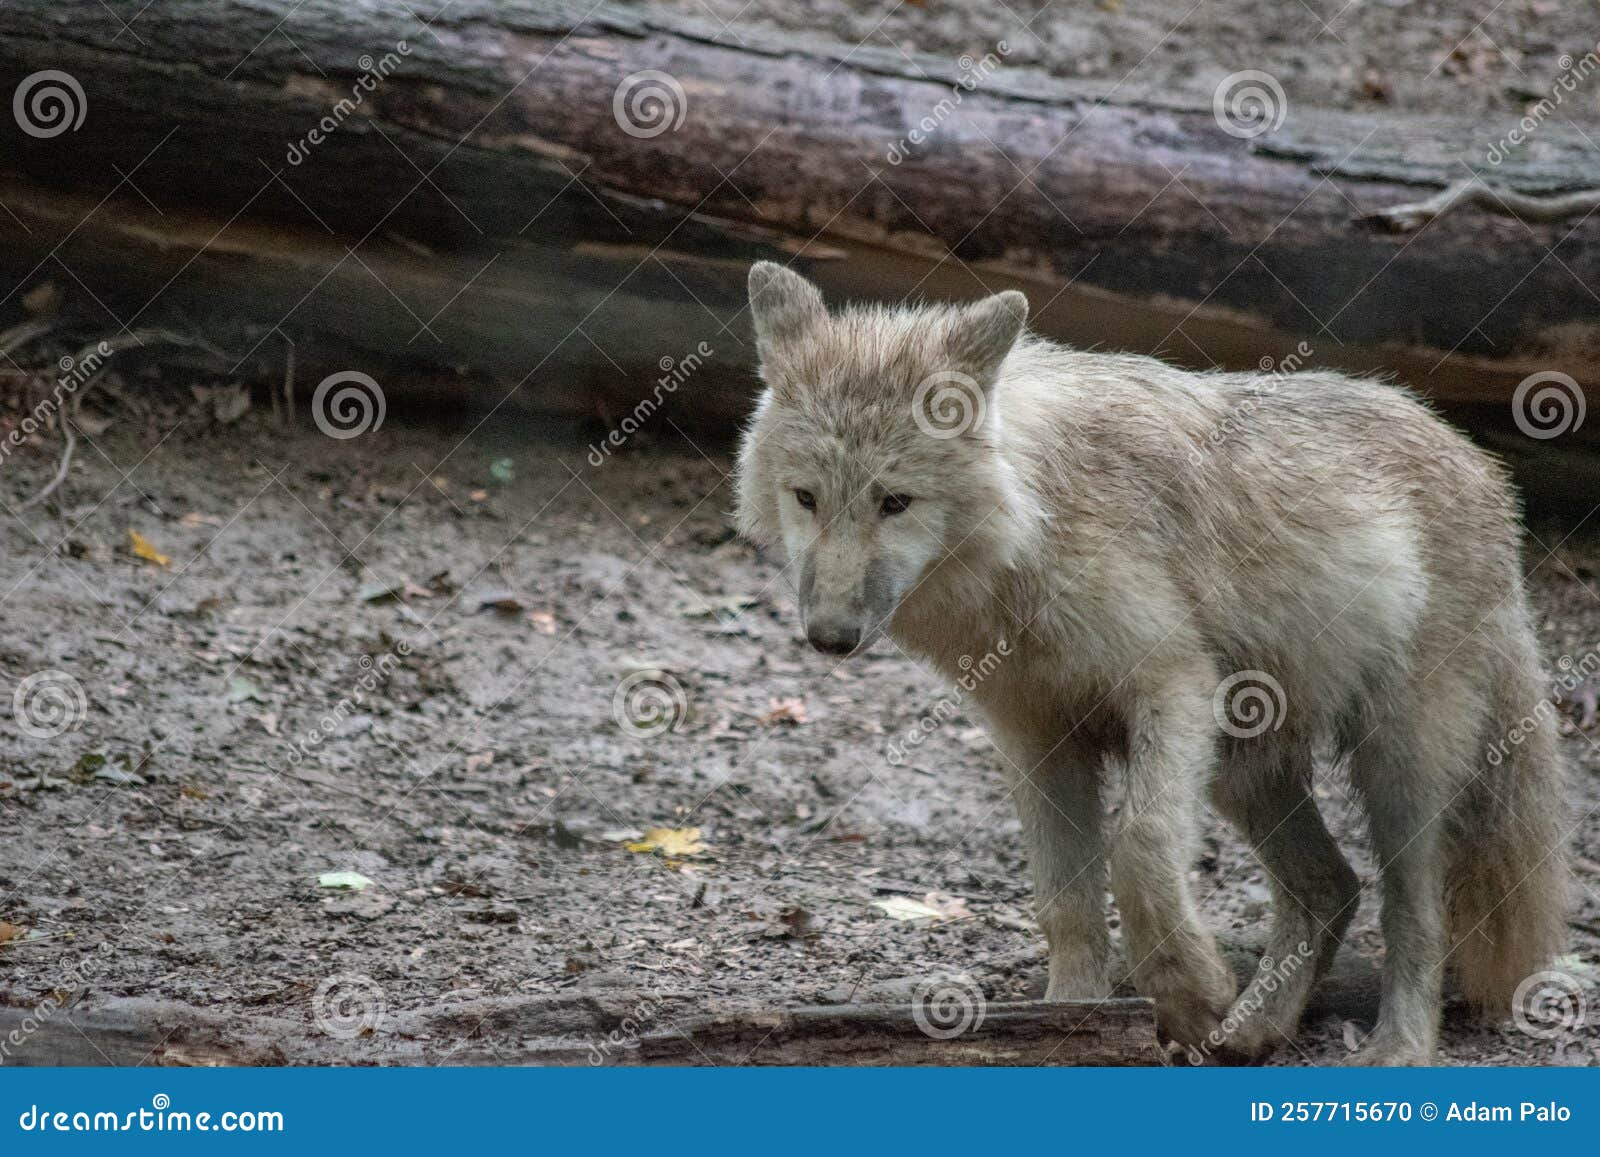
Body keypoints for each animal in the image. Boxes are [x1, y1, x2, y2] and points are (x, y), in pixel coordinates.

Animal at [732, 262, 1567, 1065]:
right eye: (807, 497)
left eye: (894, 502)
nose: (830, 635)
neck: (1036, 531)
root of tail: (1484, 467)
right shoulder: (1034, 735)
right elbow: (1064, 900)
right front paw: (1068, 1027)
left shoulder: (1174, 686)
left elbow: (1138, 848)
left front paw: (1190, 992)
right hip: (1245, 767)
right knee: (1331, 886)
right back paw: (1256, 1030)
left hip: (1393, 762)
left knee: (1415, 910)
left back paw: (1398, 1048)